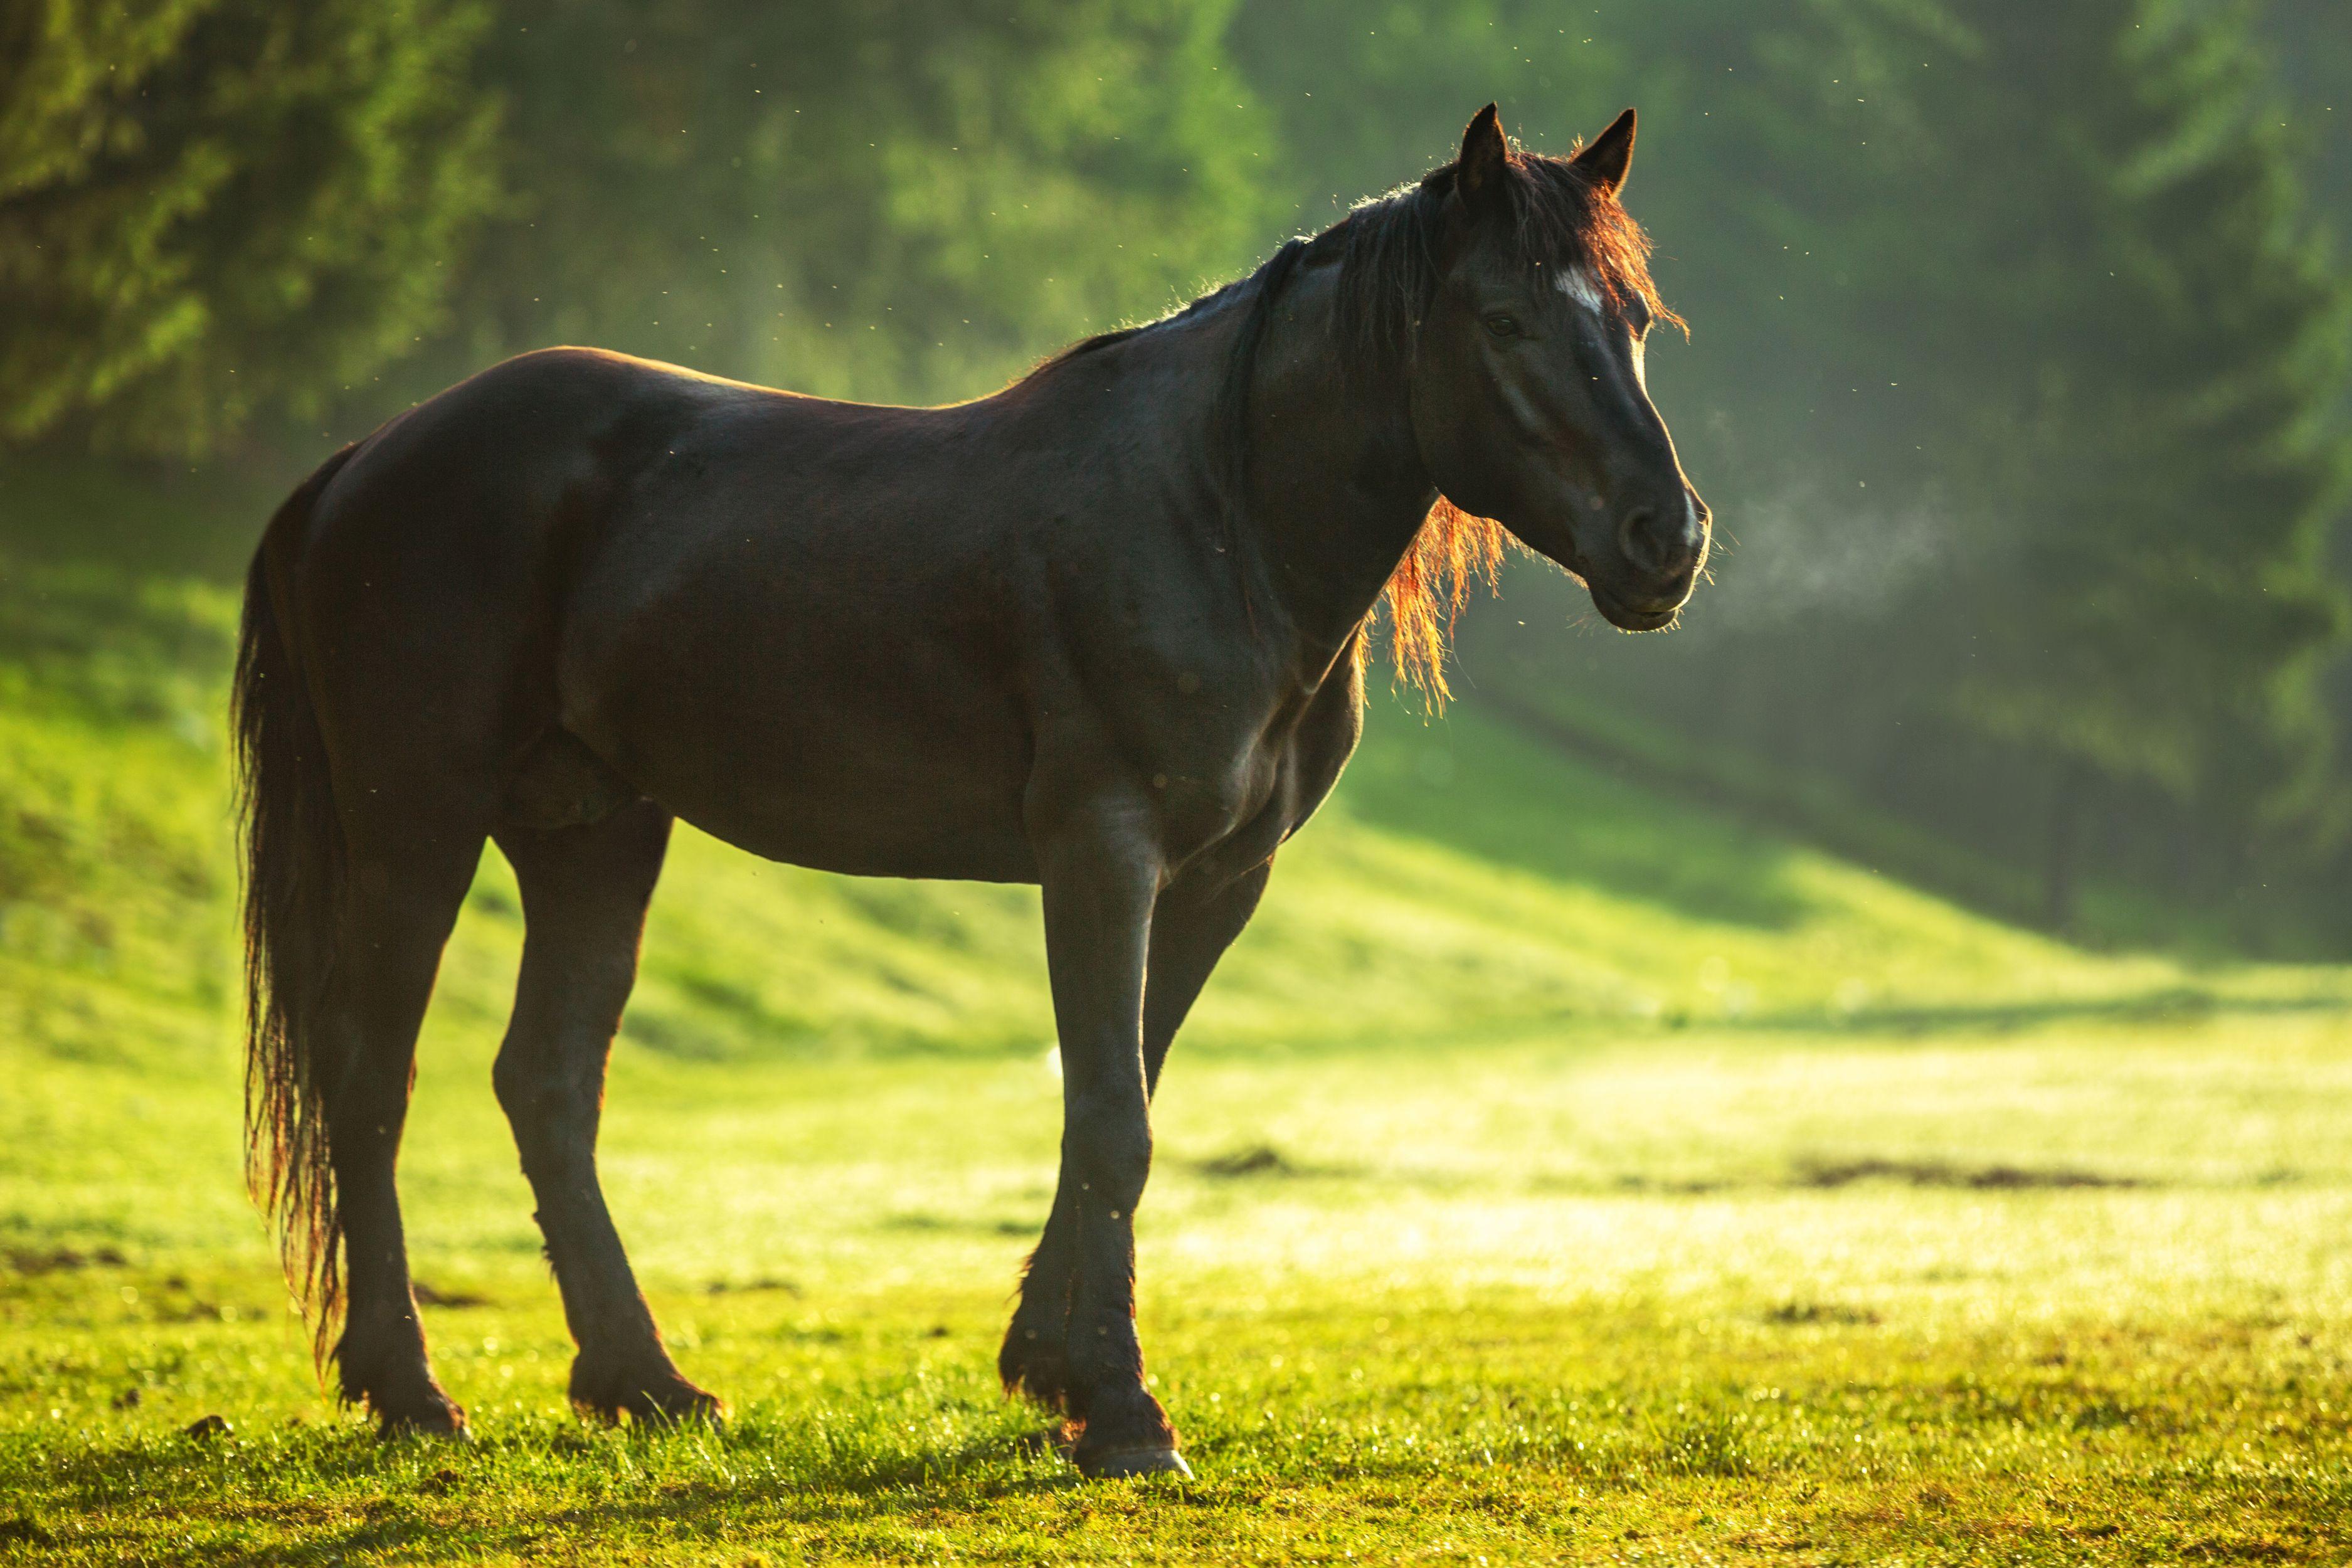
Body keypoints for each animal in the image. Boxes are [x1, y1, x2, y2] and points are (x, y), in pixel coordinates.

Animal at [233, 103, 1708, 1478]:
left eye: (1636, 320)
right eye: (1505, 319)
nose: (1668, 537)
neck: (1211, 516)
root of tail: (365, 460)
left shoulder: (1217, 880)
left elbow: (1121, 1100)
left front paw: (1051, 1365)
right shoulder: (1101, 853)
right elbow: (1111, 1119)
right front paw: (1122, 1409)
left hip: (592, 833)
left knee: (547, 1082)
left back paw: (643, 1380)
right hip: (418, 827)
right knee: (370, 1074)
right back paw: (411, 1391)